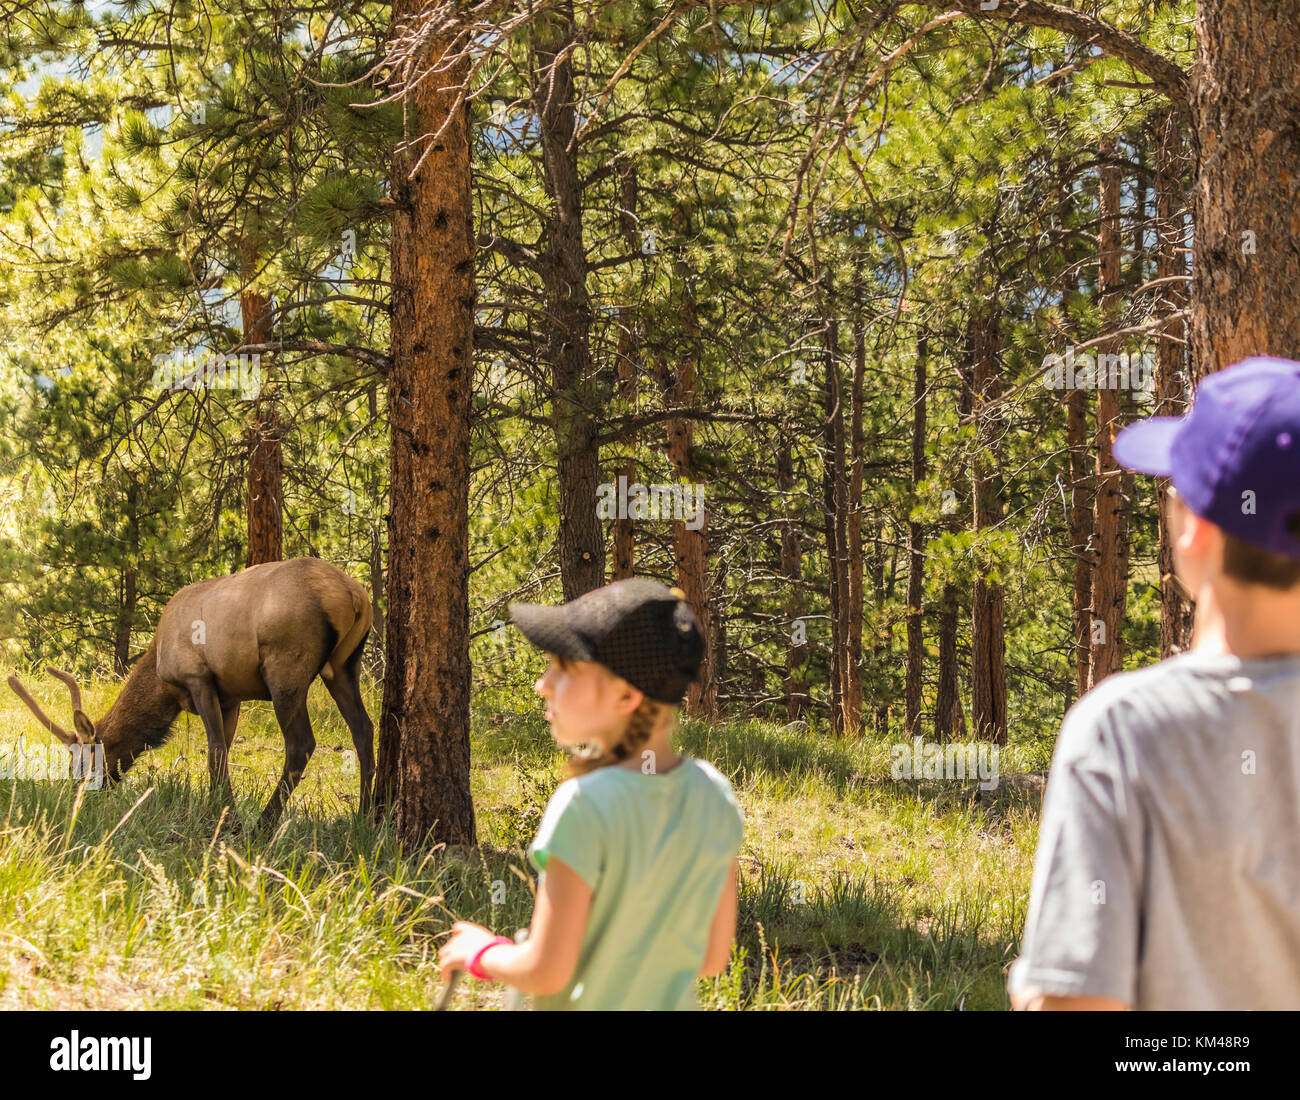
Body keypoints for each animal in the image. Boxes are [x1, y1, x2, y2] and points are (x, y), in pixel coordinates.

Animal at [7, 557, 375, 831]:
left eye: (82, 758)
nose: (77, 795)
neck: (160, 679)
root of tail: (355, 596)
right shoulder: (231, 697)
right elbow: (224, 748)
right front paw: (217, 808)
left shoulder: (198, 678)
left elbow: (215, 750)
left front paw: (226, 821)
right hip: (344, 666)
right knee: (364, 728)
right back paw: (367, 816)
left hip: (286, 669)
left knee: (301, 744)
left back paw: (263, 827)